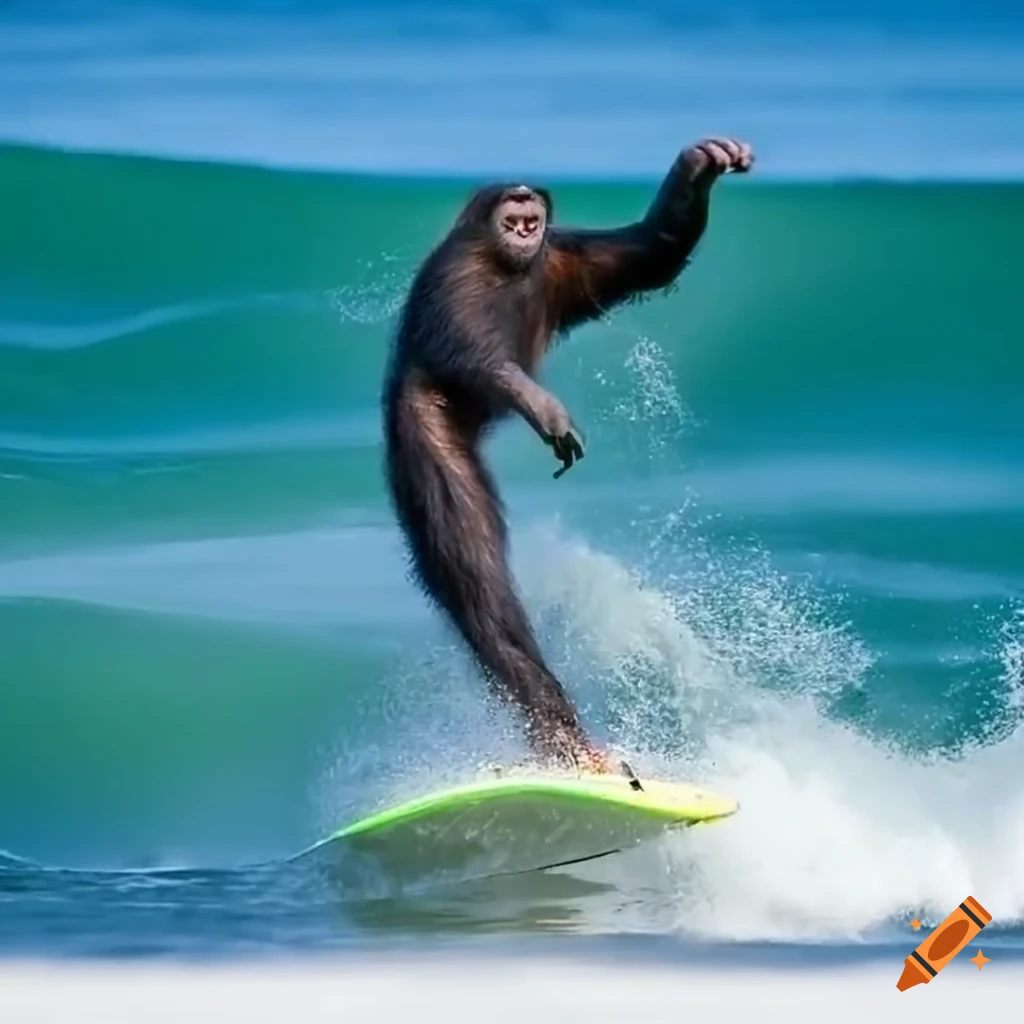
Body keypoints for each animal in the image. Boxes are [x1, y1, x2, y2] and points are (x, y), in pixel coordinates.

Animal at [382, 137, 754, 771]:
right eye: (509, 205)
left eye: (529, 208)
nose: (523, 206)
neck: (507, 264)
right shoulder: (462, 277)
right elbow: (473, 350)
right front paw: (543, 407)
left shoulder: (563, 258)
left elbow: (648, 252)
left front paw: (701, 164)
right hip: (423, 435)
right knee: (475, 578)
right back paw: (568, 745)